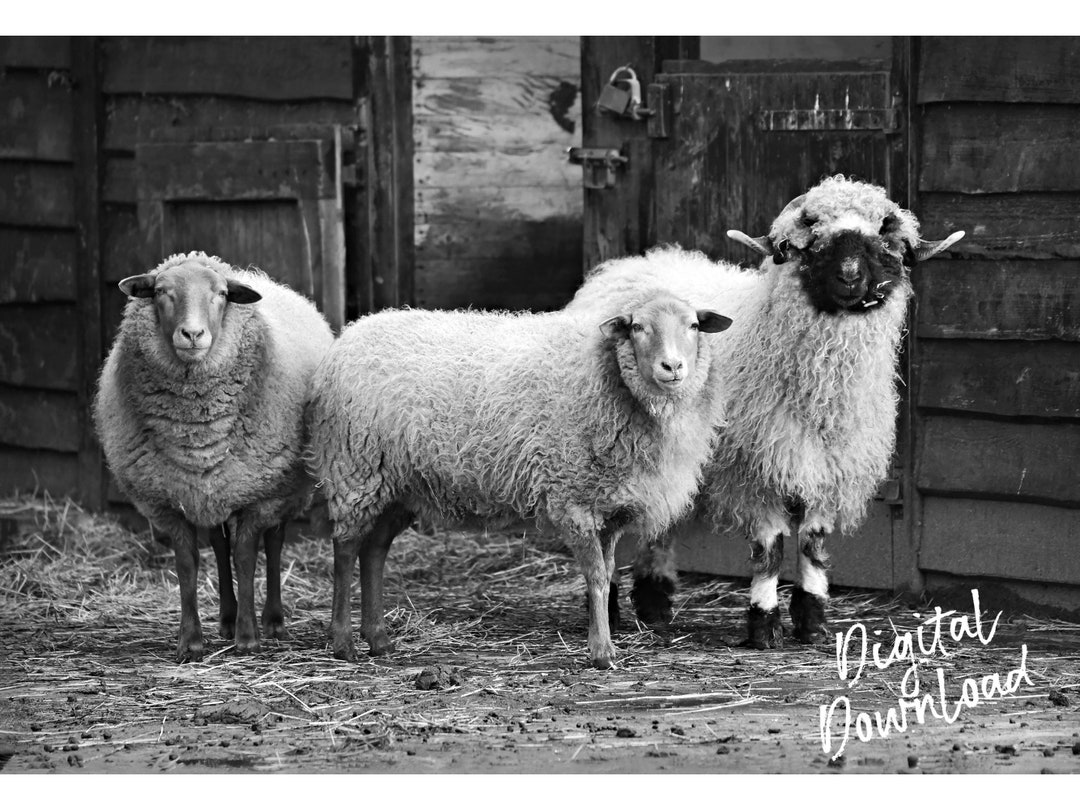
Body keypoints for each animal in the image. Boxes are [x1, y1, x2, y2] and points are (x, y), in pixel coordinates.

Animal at [93, 251, 334, 662]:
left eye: (221, 294)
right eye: (161, 292)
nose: (192, 335)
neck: (197, 431)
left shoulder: (257, 494)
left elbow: (246, 558)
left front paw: (249, 638)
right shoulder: (170, 500)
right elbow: (189, 564)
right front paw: (190, 642)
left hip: (282, 486)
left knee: (274, 542)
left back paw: (273, 621)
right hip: (211, 491)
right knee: (219, 546)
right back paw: (226, 617)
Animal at [306, 292, 733, 669]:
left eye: (694, 326)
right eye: (638, 327)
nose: (672, 367)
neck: (605, 375)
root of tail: (353, 332)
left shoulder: (610, 506)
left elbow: (608, 572)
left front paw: (603, 642)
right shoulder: (572, 497)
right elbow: (596, 576)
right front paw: (601, 652)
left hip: (400, 484)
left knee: (374, 551)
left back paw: (378, 638)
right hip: (356, 468)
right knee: (346, 549)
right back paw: (344, 642)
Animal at [568, 175, 964, 648]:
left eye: (883, 247)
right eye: (814, 245)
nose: (850, 279)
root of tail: (626, 265)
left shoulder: (826, 469)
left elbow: (812, 544)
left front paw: (811, 621)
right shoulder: (755, 470)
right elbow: (771, 550)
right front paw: (763, 625)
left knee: (663, 522)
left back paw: (655, 603)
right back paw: (609, 606)